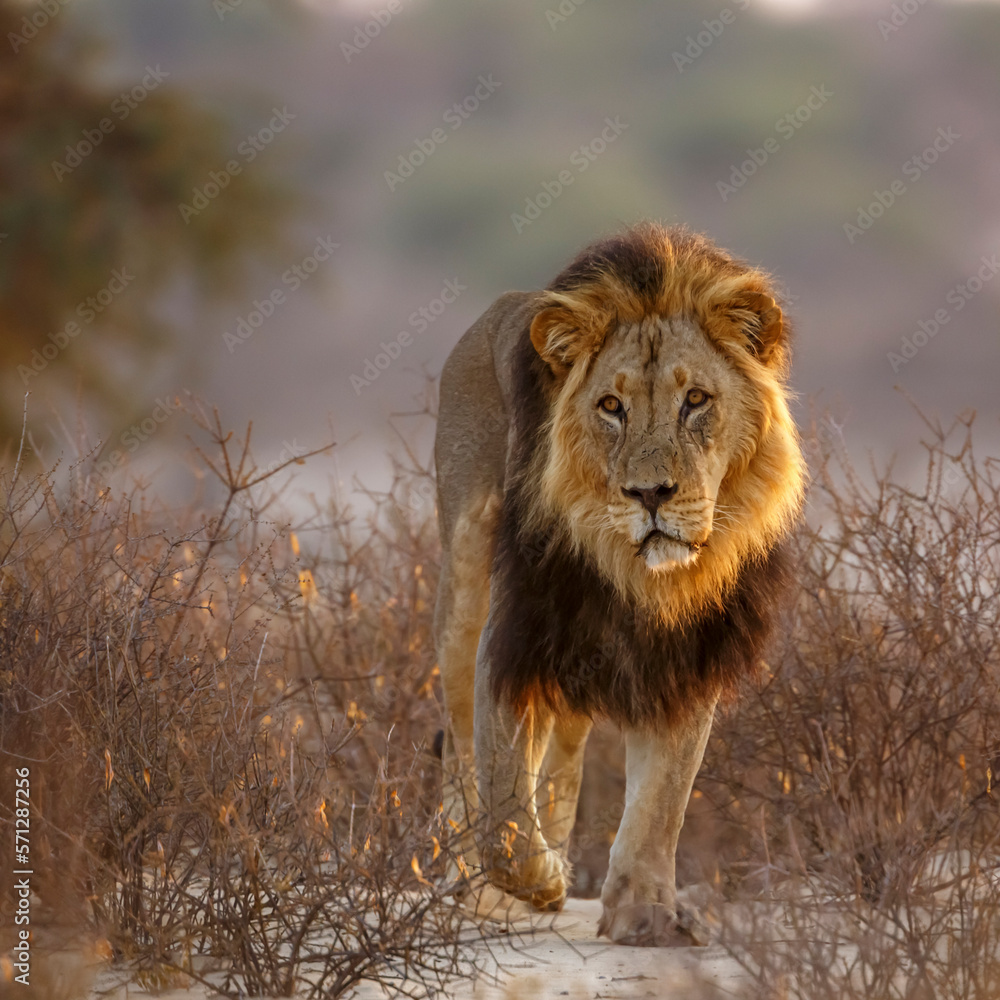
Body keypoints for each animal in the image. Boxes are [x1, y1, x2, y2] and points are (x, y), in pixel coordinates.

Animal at [433, 222, 804, 946]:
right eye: (611, 407)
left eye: (696, 401)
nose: (651, 494)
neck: (637, 578)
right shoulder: (515, 634)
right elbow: (502, 793)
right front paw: (539, 881)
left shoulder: (689, 657)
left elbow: (661, 799)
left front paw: (643, 912)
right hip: (464, 586)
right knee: (461, 737)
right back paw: (475, 881)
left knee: (566, 745)